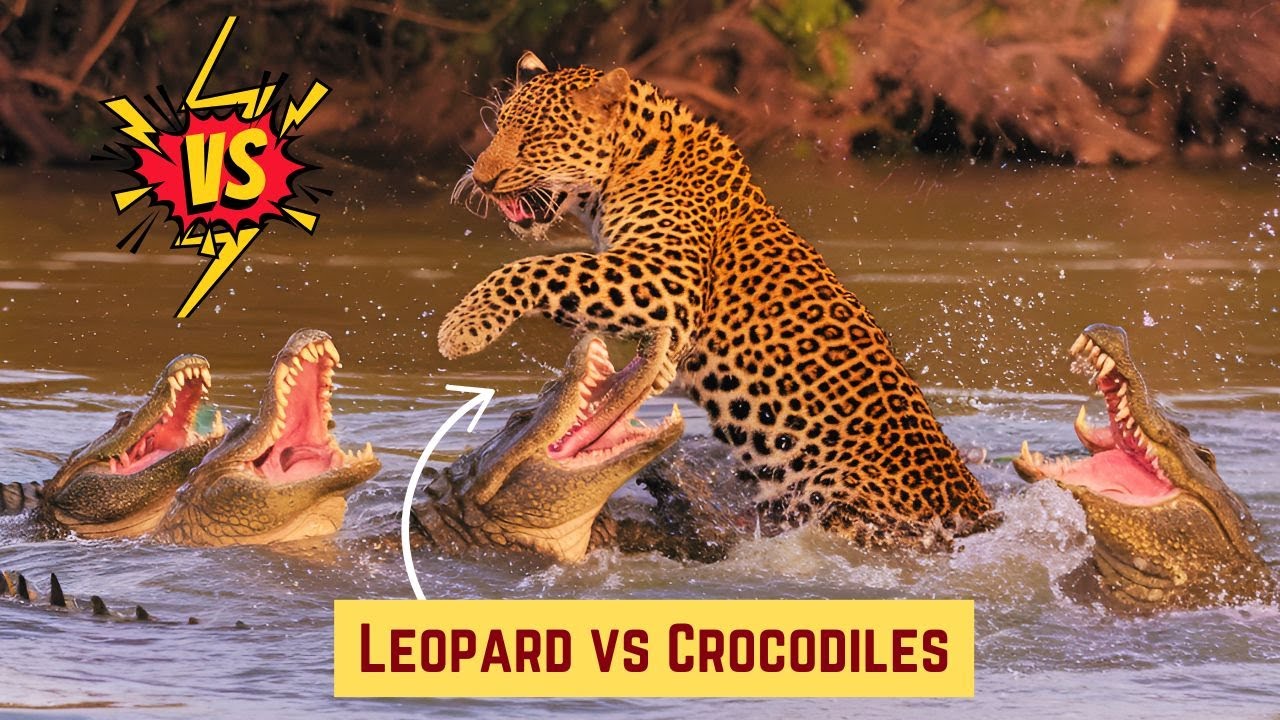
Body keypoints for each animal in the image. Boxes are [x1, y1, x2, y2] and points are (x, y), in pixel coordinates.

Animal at [439, 52, 999, 548]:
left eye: (534, 137)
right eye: (499, 127)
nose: (481, 179)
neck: (627, 165)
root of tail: (978, 511)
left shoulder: (664, 277)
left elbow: (541, 266)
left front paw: (463, 327)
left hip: (836, 493)